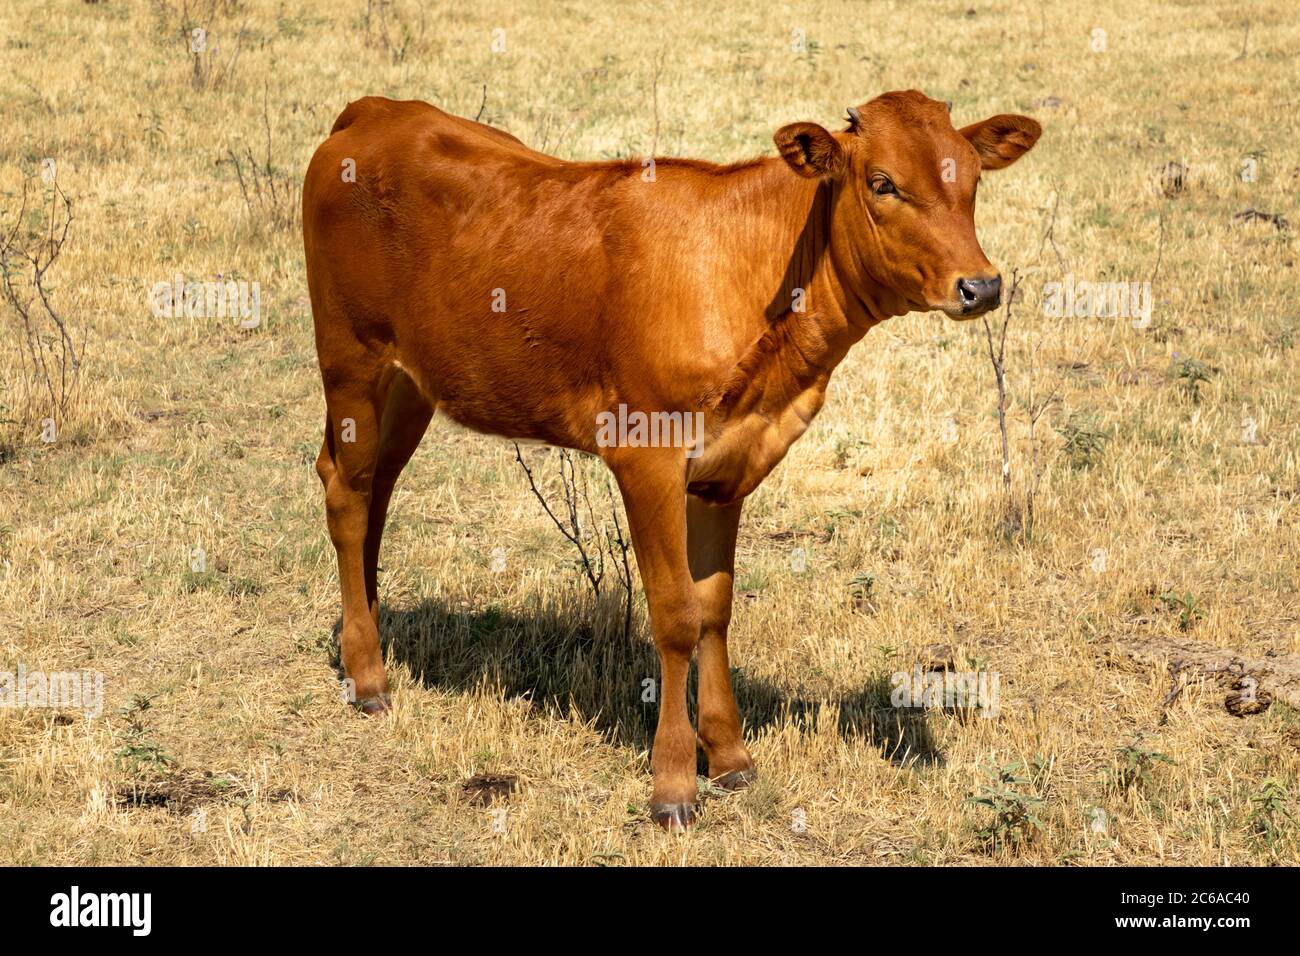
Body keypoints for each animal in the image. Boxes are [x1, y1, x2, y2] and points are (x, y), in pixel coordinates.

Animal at [302, 89, 1040, 831]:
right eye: (882, 183)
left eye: (973, 178)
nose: (981, 286)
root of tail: (377, 110)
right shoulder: (645, 453)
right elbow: (676, 613)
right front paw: (675, 783)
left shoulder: (727, 465)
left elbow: (714, 606)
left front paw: (731, 755)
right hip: (351, 359)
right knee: (347, 490)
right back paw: (367, 674)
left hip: (412, 382)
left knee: (376, 489)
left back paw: (367, 633)